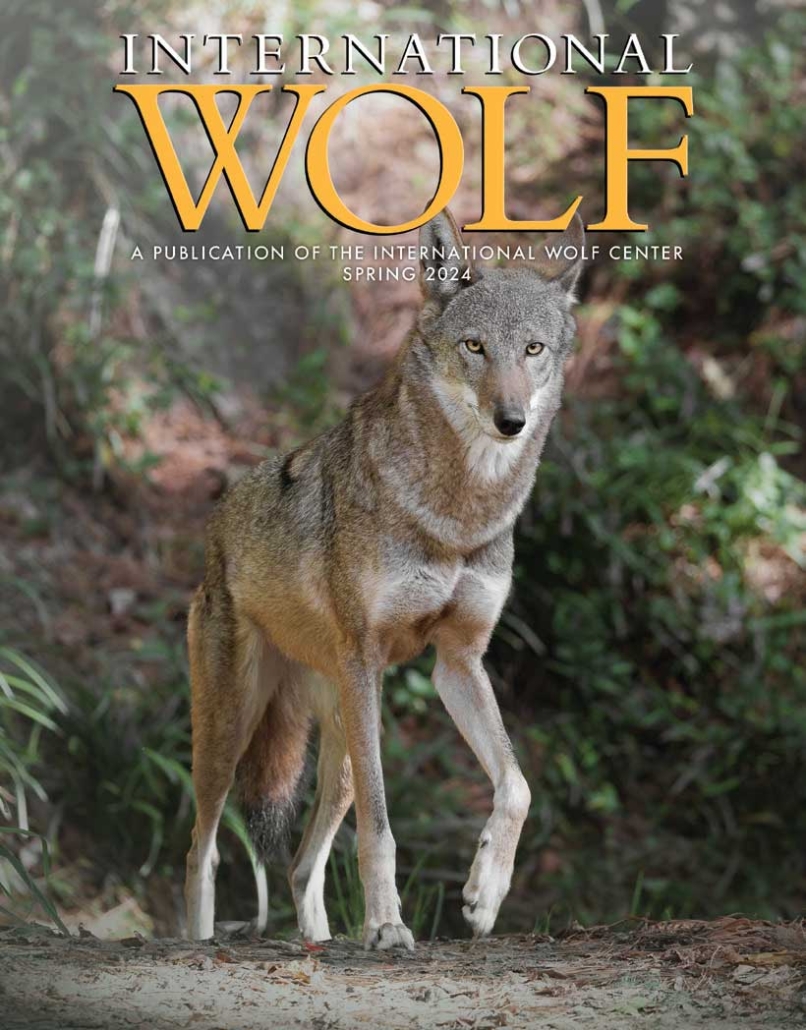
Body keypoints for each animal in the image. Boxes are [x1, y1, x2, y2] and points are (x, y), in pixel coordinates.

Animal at [184, 209, 585, 950]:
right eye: (475, 347)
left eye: (533, 349)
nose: (511, 421)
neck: (457, 515)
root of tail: (218, 521)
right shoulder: (369, 659)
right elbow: (382, 828)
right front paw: (388, 927)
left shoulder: (458, 662)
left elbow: (517, 787)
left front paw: (485, 895)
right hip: (235, 729)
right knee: (205, 849)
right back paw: (197, 941)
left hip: (342, 739)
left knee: (301, 865)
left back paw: (318, 942)